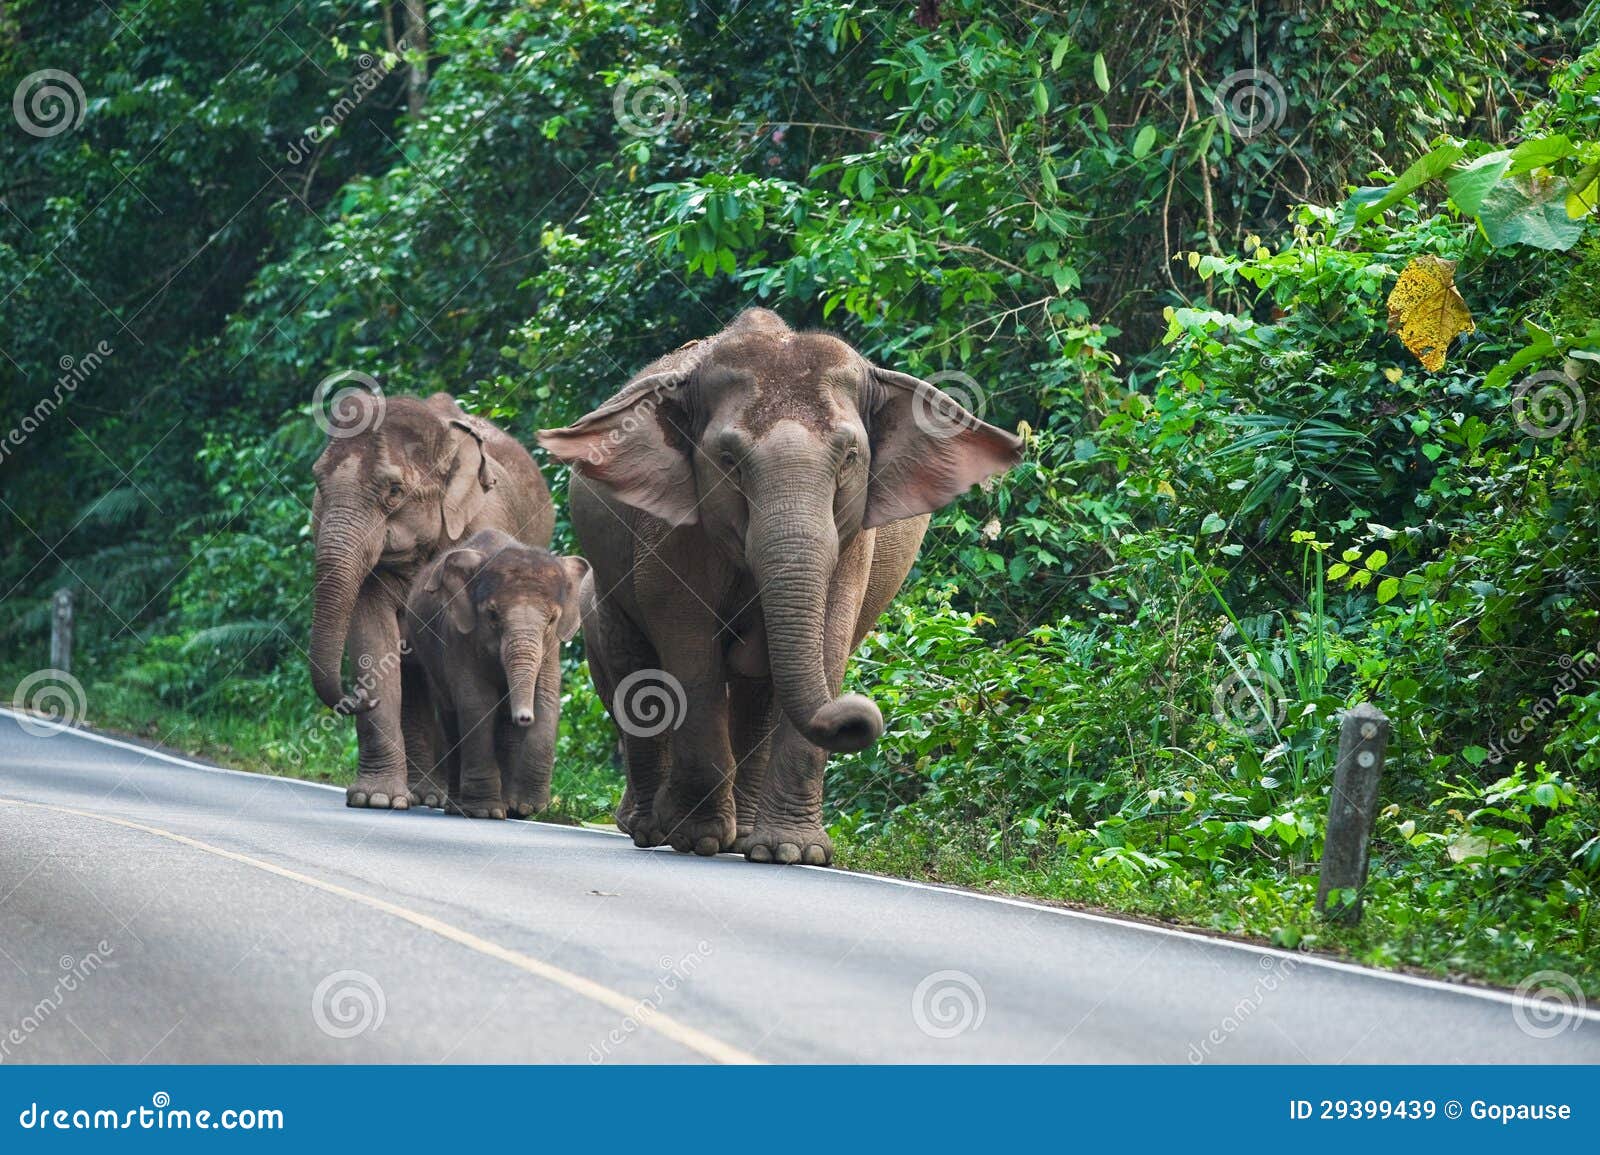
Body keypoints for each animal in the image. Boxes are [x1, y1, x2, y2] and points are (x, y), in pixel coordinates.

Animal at [309, 390, 554, 810]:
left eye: (393, 490)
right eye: (318, 484)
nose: (358, 700)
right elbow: (373, 637)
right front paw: (377, 799)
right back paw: (425, 794)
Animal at [404, 529, 588, 819]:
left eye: (551, 620)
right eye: (491, 615)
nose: (523, 717)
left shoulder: (552, 647)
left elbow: (546, 700)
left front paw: (528, 809)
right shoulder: (458, 636)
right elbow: (476, 703)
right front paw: (486, 812)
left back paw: (508, 807)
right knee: (451, 716)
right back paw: (459, 808)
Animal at [539, 308, 1022, 864]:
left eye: (850, 456)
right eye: (728, 459)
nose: (862, 713)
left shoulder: (855, 539)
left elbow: (828, 638)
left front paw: (795, 852)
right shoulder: (669, 528)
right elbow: (687, 648)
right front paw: (696, 838)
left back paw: (744, 837)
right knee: (636, 675)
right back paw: (654, 828)